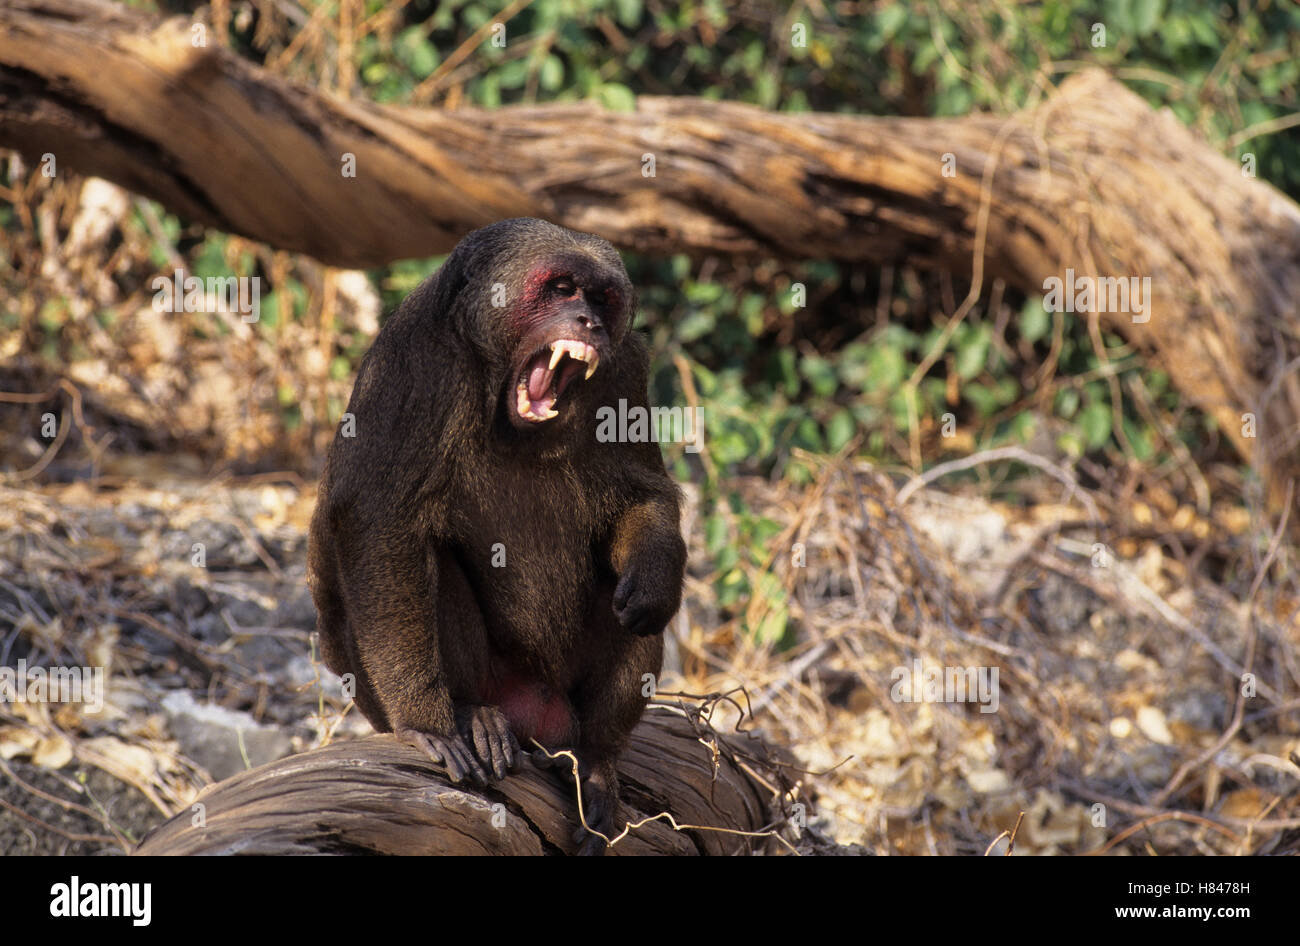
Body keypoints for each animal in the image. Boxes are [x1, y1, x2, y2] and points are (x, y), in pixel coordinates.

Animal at [307, 218, 686, 854]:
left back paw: (597, 759)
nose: (588, 322)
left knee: (631, 607)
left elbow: (642, 498)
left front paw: (656, 571)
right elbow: (381, 524)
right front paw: (427, 720)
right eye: (561, 289)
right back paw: (471, 713)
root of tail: (540, 716)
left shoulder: (625, 369)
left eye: (601, 298)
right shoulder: (417, 365)